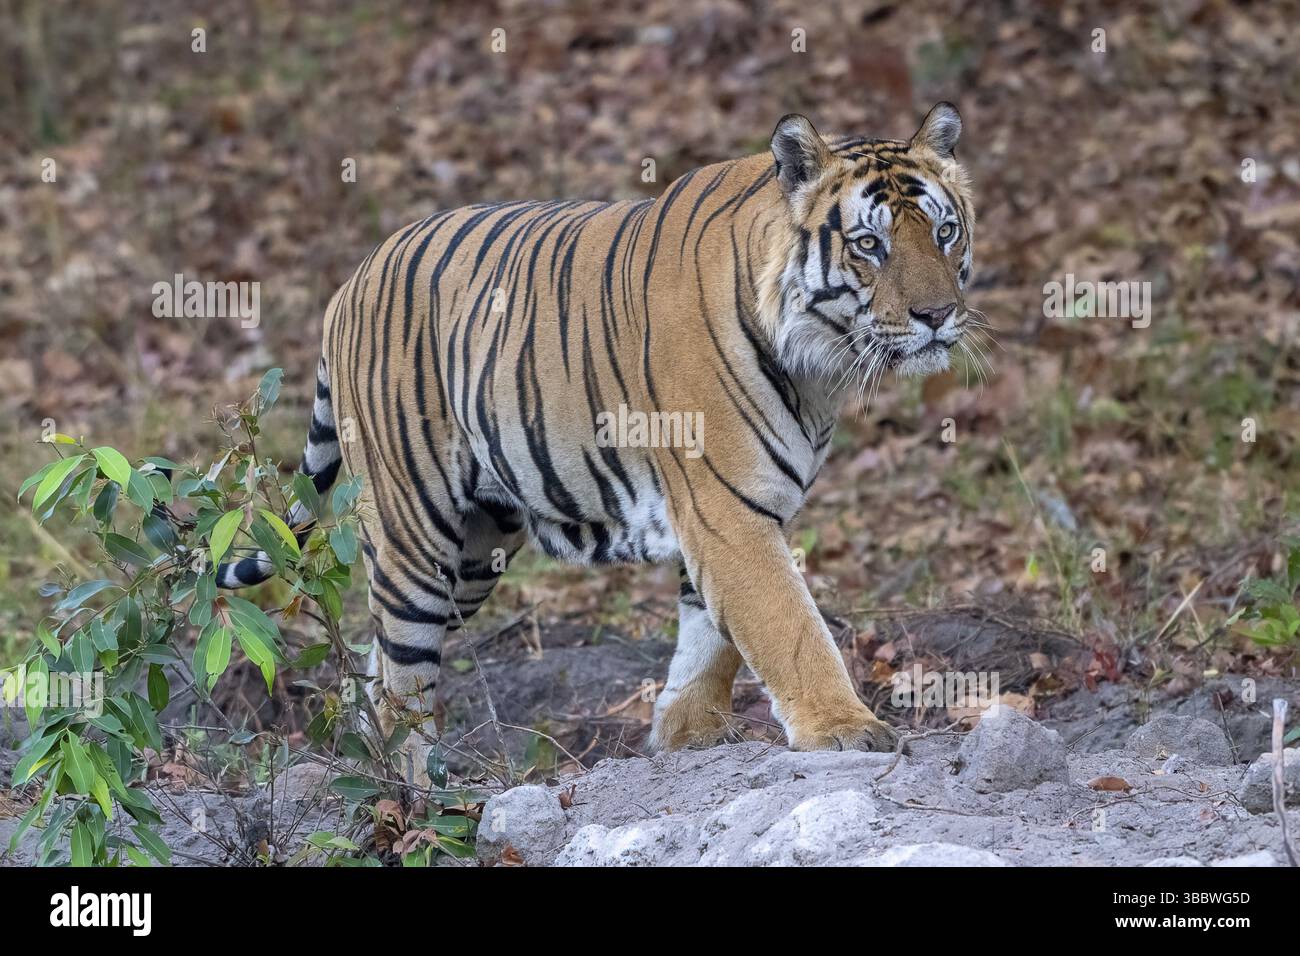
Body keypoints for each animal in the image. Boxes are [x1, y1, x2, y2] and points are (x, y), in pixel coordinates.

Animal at [217, 102, 978, 759]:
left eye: (944, 232)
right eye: (869, 245)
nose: (938, 315)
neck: (817, 365)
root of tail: (351, 283)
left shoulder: (732, 512)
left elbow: (712, 634)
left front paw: (688, 732)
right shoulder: (727, 510)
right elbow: (785, 625)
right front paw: (842, 727)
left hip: (477, 547)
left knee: (378, 664)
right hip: (414, 531)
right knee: (404, 678)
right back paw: (415, 795)